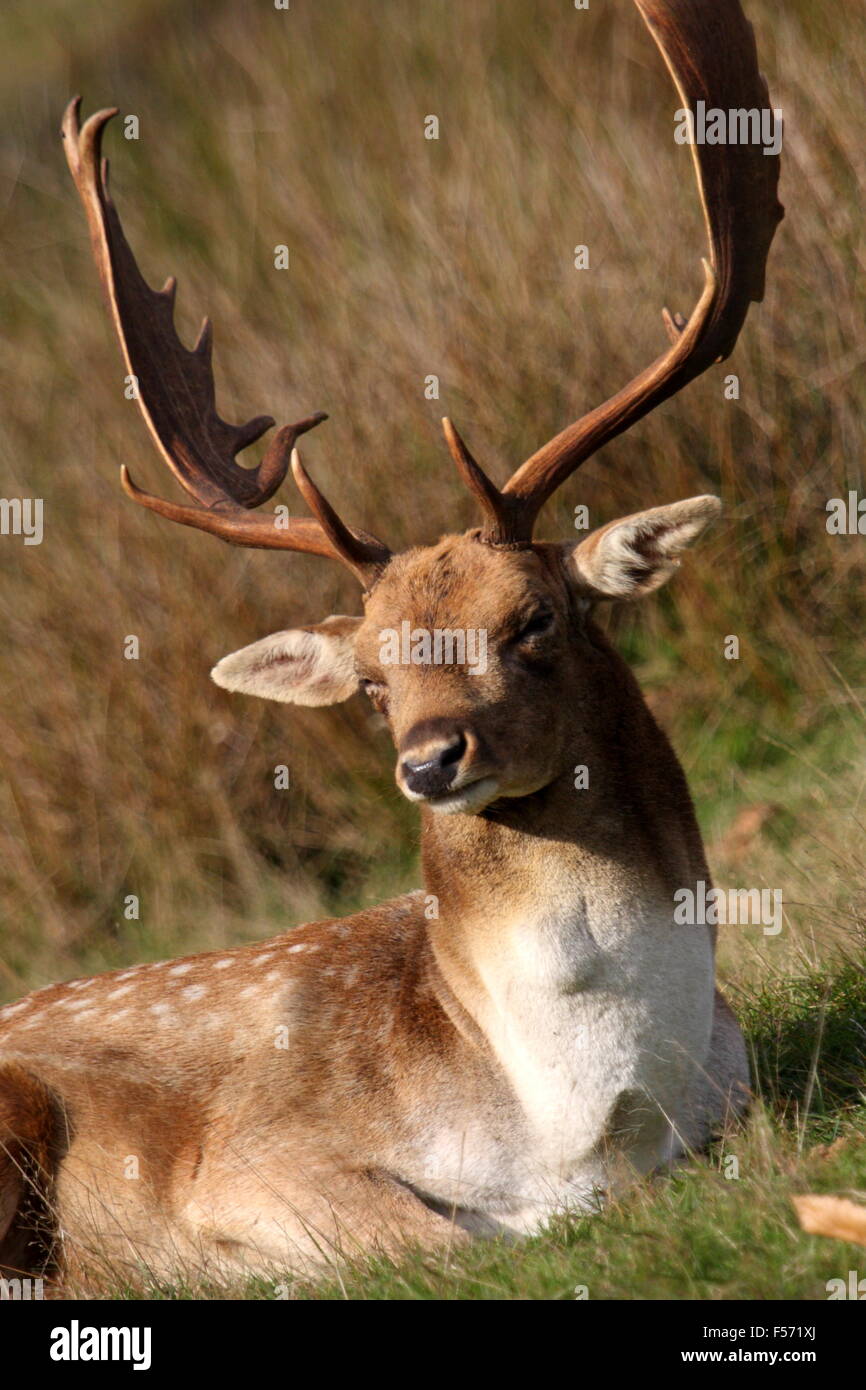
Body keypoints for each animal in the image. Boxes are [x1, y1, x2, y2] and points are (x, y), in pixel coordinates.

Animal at [0, 0, 782, 1287]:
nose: (429, 759)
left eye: (534, 618)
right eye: (370, 682)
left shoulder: (737, 1095)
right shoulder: (252, 1161)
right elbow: (444, 1240)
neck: (588, 1121)